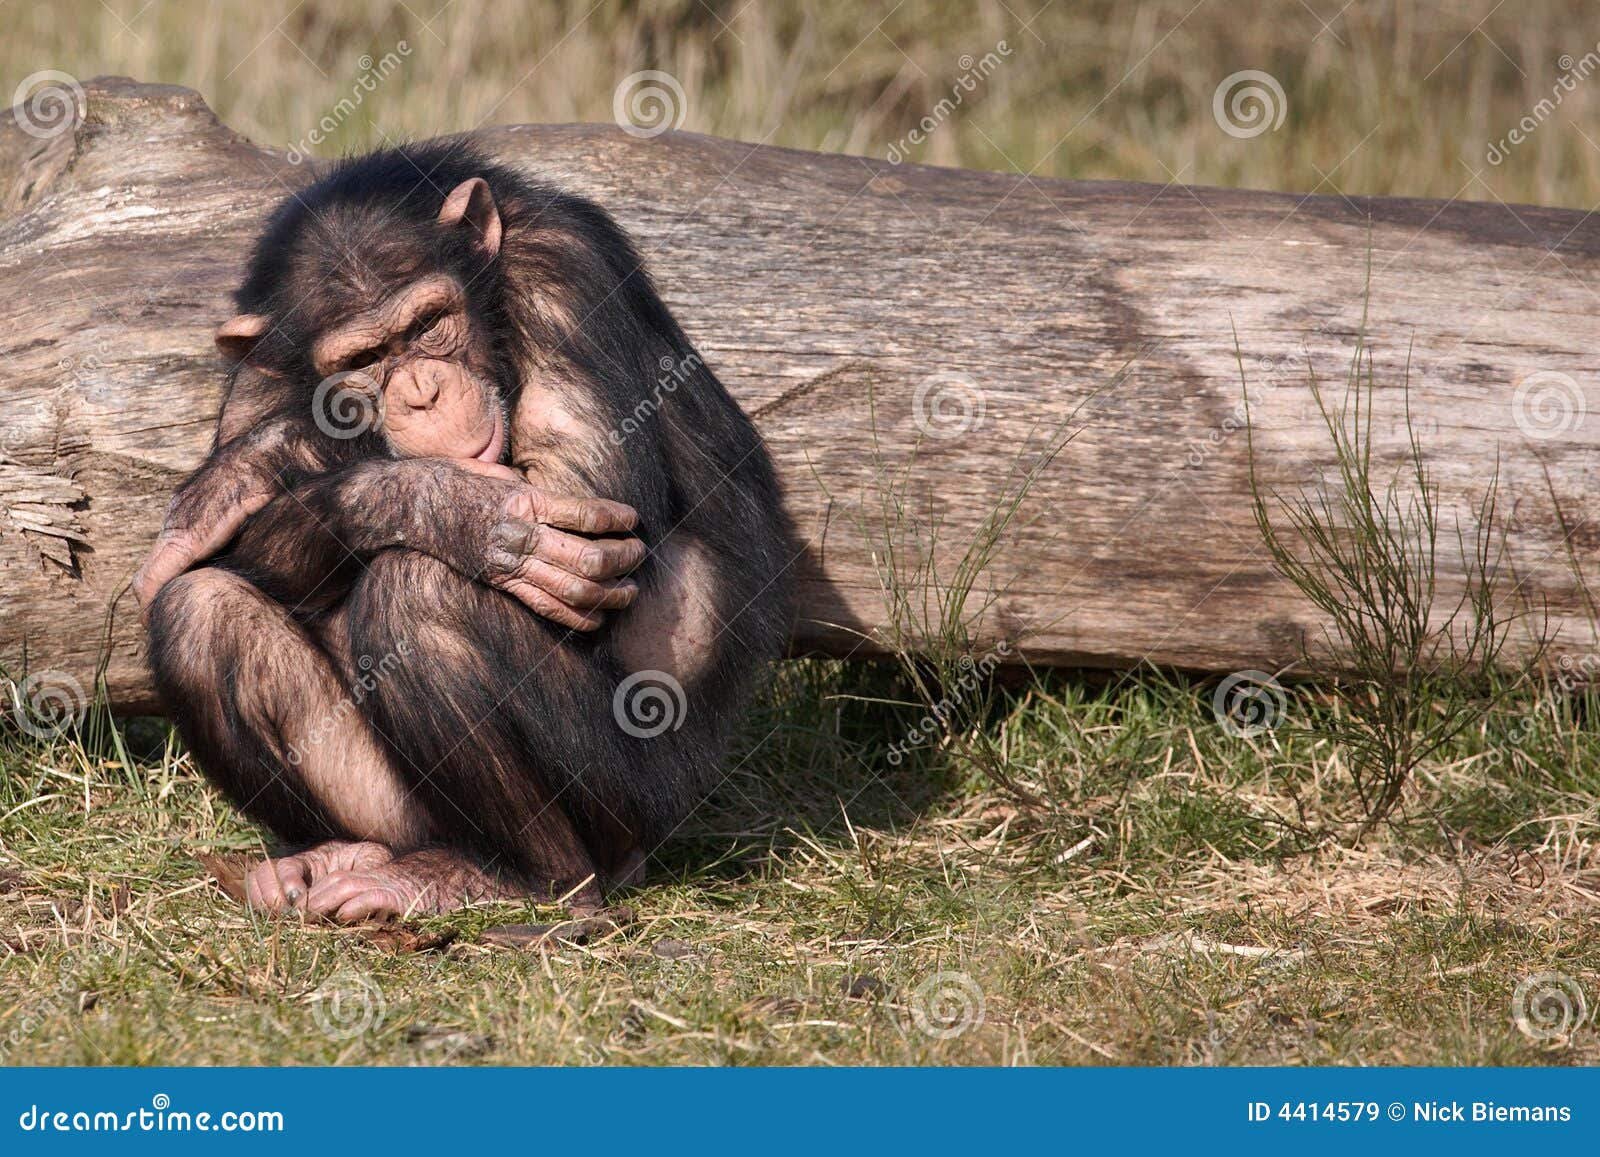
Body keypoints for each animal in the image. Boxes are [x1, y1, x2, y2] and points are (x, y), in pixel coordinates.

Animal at [134, 142, 793, 923]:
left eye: (428, 326)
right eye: (362, 362)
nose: (422, 391)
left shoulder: (567, 271)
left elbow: (582, 493)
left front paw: (255, 463)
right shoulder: (258, 367)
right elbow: (232, 549)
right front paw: (455, 509)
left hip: (633, 799)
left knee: (424, 595)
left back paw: (522, 880)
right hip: (400, 811)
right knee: (200, 611)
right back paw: (329, 857)